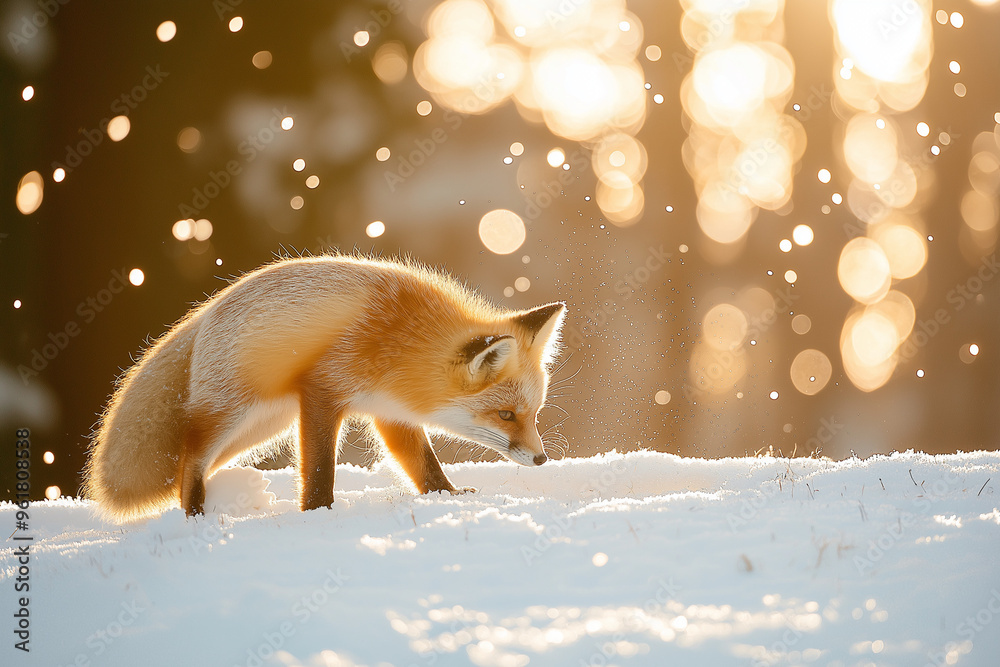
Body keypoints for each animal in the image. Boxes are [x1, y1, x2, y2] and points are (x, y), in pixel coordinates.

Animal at [83, 255, 566, 521]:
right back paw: (196, 517)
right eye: (506, 415)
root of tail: (203, 315)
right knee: (190, 458)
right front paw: (317, 514)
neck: (399, 339)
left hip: (263, 427)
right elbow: (318, 469)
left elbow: (422, 465)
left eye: (534, 413)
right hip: (232, 414)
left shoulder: (389, 411)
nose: (542, 459)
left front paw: (446, 497)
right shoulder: (322, 390)